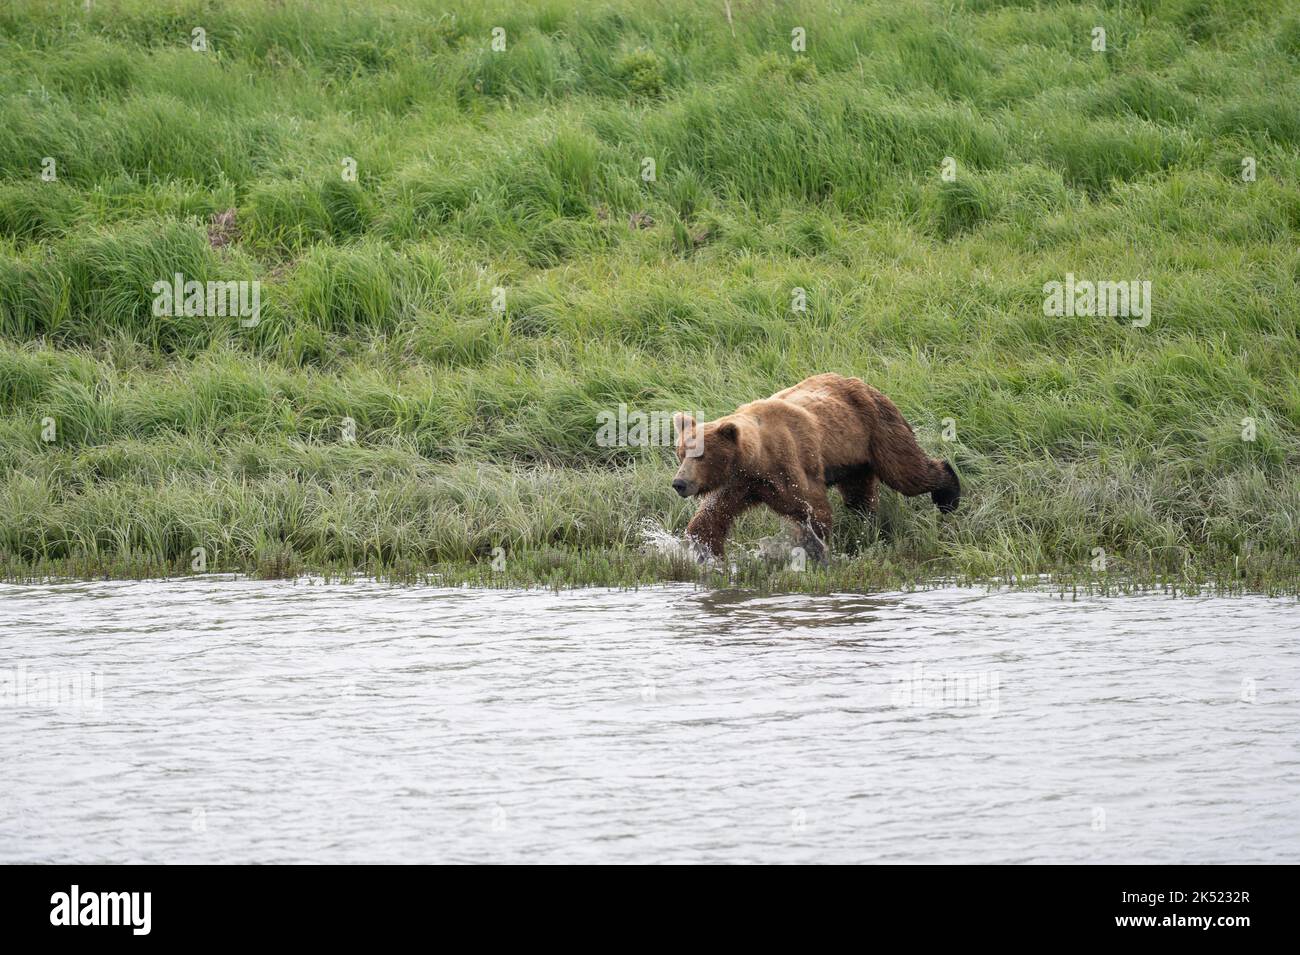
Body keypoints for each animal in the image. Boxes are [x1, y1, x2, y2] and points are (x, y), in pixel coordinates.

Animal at [670, 373, 959, 561]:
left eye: (699, 455)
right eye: (681, 453)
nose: (679, 483)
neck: (756, 460)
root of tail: (862, 382)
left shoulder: (788, 467)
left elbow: (813, 511)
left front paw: (814, 551)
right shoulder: (740, 482)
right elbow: (711, 516)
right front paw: (706, 554)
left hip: (877, 429)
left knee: (906, 471)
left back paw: (948, 495)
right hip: (853, 459)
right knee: (860, 496)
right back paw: (867, 523)